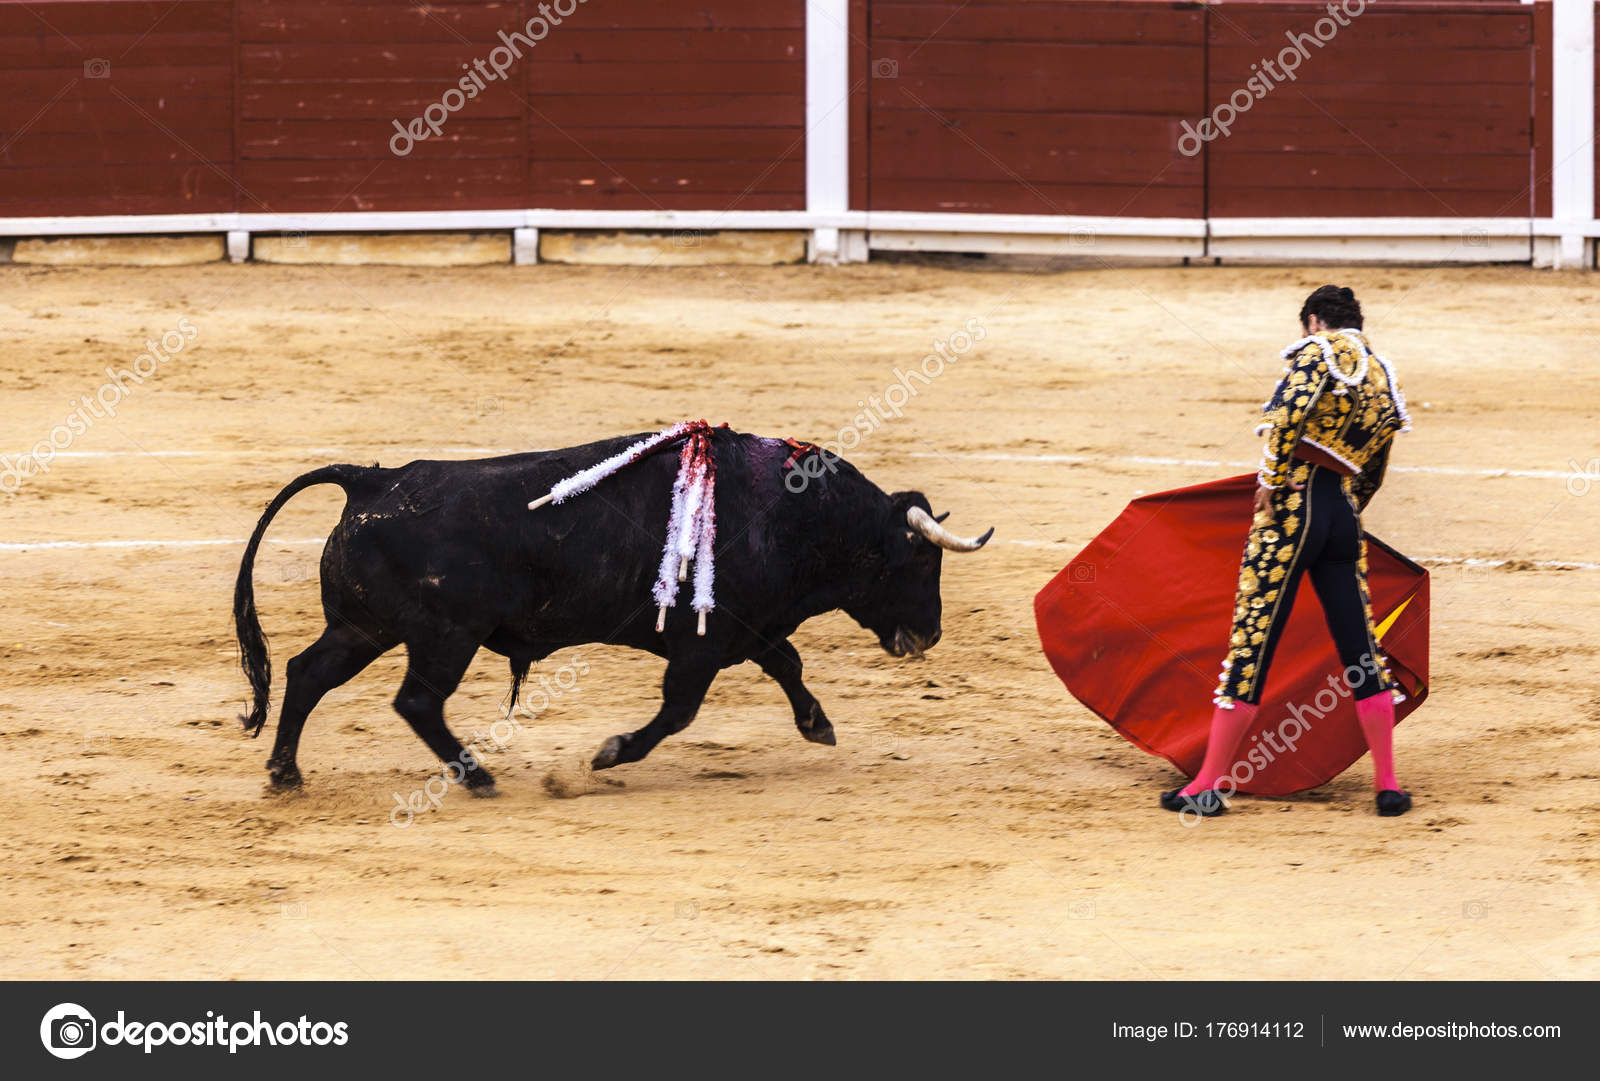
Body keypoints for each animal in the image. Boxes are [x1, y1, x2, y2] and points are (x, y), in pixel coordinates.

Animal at [233, 428, 993, 793]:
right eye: (921, 561)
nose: (930, 633)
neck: (797, 513)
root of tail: (374, 480)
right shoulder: (703, 645)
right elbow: (680, 709)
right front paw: (609, 753)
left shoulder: (744, 630)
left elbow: (788, 662)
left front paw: (818, 725)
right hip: (445, 637)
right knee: (416, 702)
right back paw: (479, 777)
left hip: (364, 628)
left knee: (306, 673)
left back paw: (285, 773)